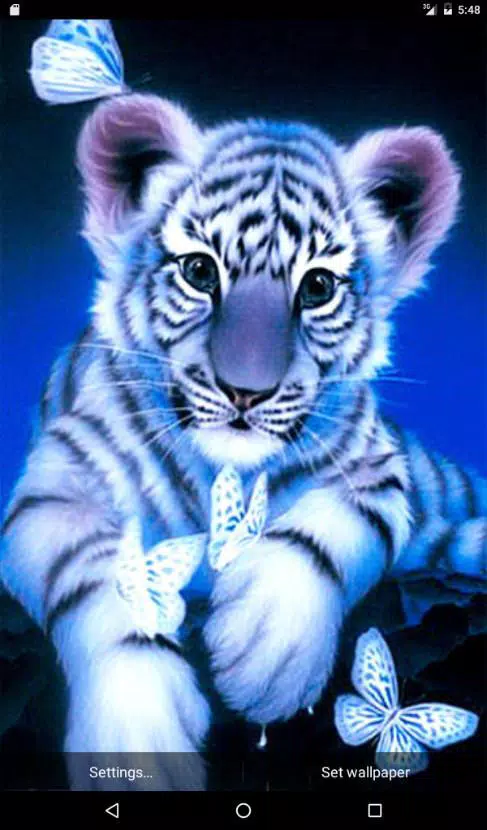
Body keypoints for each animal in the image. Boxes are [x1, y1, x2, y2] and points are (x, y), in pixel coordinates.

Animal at [1, 93, 486, 790]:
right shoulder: (54, 491)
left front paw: (267, 645)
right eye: (200, 271)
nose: (246, 392)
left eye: (317, 287)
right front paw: (137, 735)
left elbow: (329, 531)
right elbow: (102, 579)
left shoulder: (377, 468)